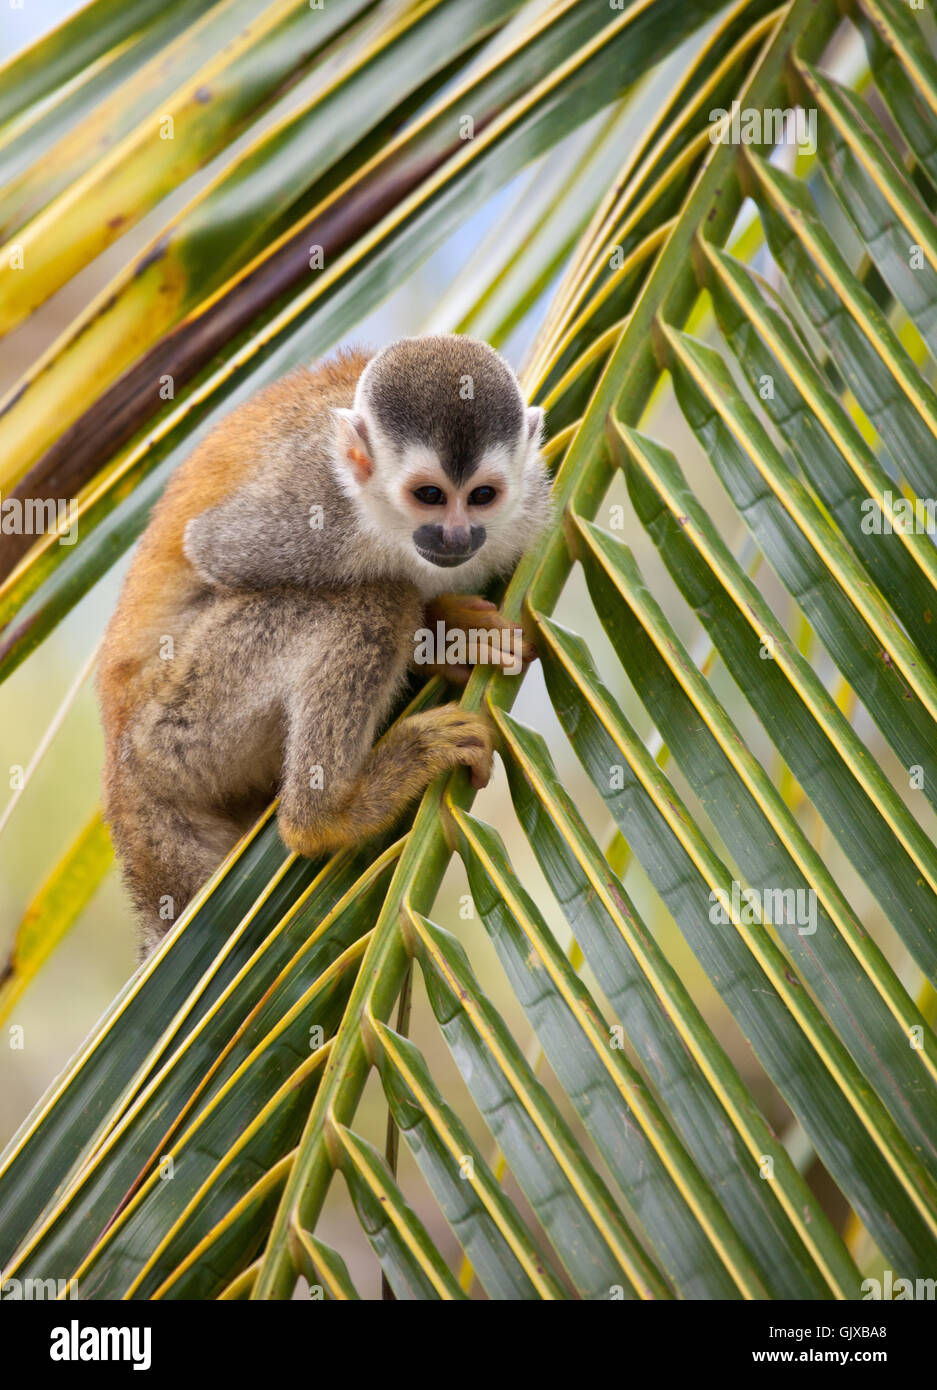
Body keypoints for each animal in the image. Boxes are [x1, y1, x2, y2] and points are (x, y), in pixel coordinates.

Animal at [97, 335, 552, 956]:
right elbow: (215, 551)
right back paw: (328, 814)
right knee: (375, 602)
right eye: (430, 495)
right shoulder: (313, 511)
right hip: (172, 721)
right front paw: (441, 636)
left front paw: (454, 636)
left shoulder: (526, 511)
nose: (456, 536)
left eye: (482, 495)